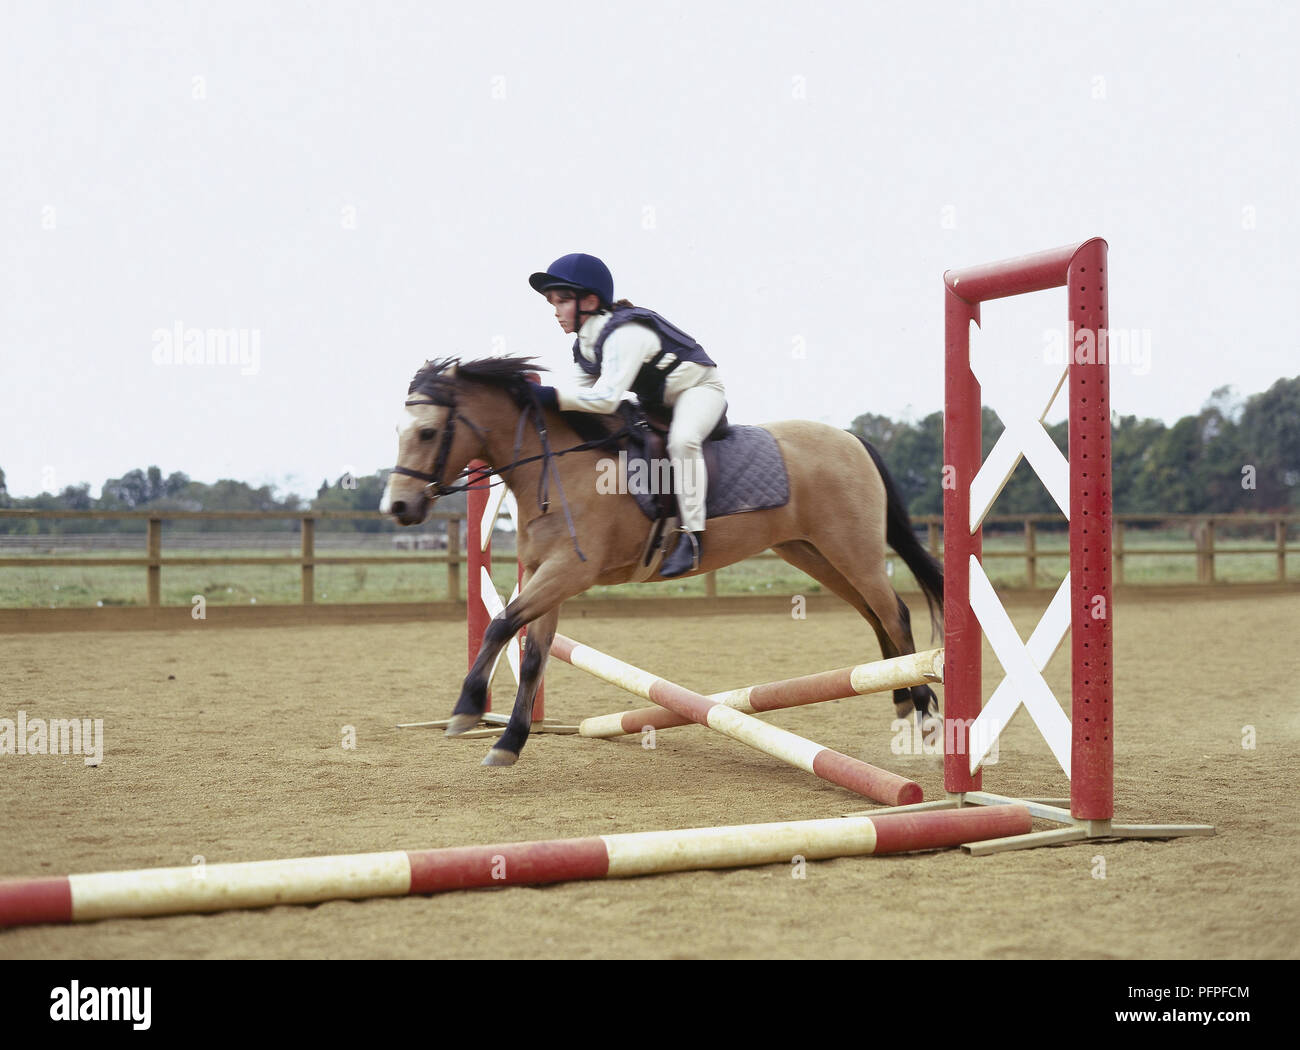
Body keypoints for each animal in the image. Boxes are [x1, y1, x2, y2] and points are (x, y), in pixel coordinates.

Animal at [380, 356, 944, 767]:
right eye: (399, 430)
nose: (399, 507)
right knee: (875, 613)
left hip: (852, 550)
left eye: (427, 432)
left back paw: (926, 715)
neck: (557, 466)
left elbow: (500, 625)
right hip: (814, 554)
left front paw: (466, 710)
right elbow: (533, 653)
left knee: (895, 613)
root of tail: (852, 439)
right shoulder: (547, 577)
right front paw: (508, 742)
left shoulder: (569, 572)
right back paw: (901, 697)